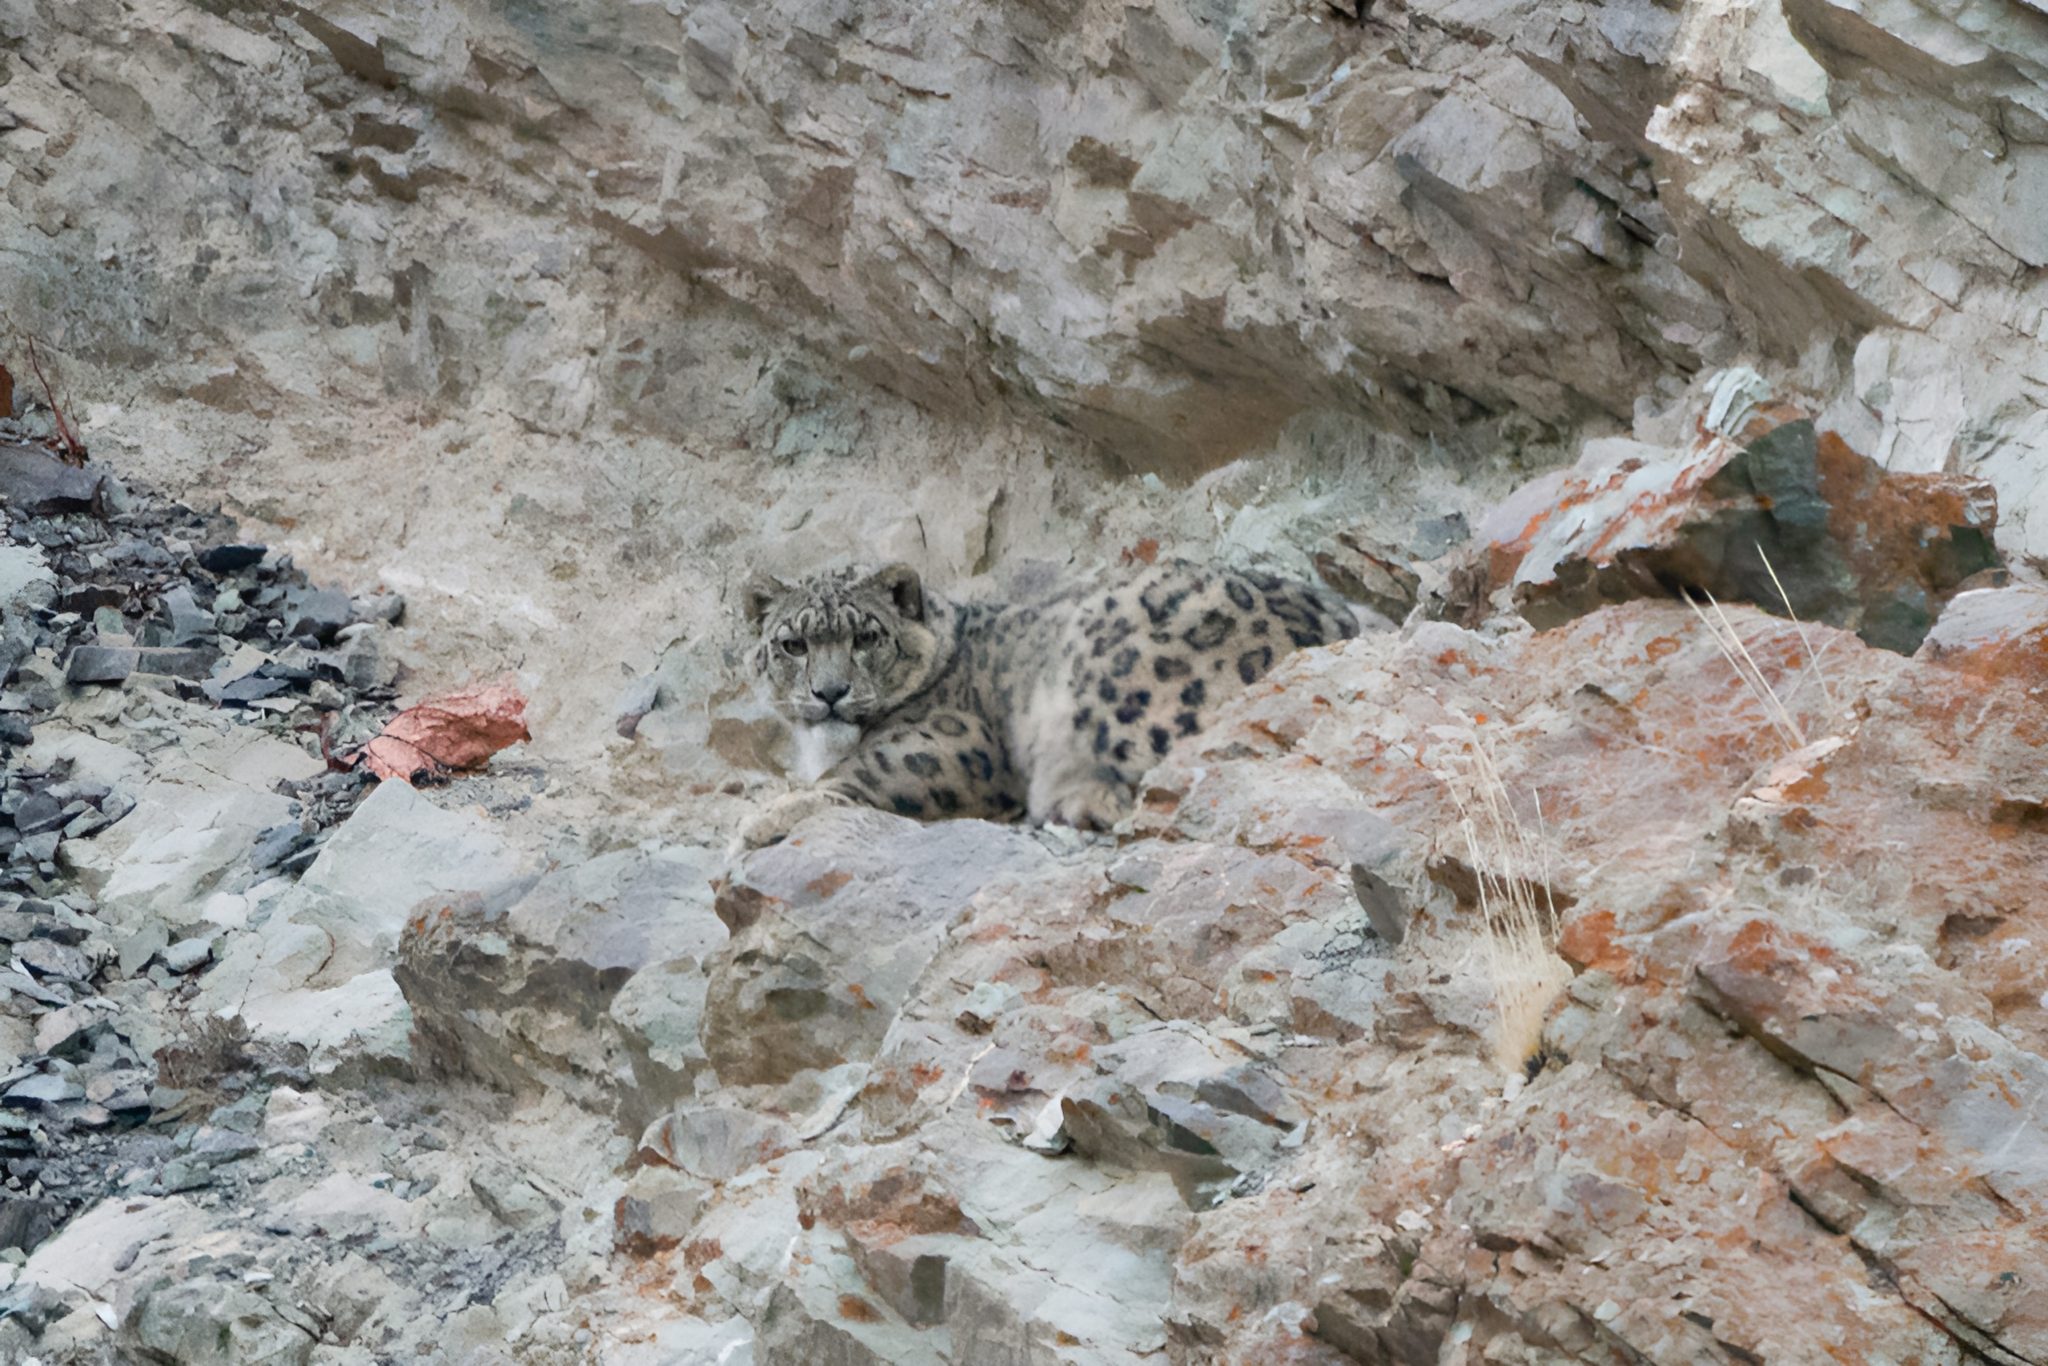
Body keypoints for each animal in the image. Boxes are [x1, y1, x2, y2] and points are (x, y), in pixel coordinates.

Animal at [732, 559, 1359, 852]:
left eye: (866, 636)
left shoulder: (955, 740)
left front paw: (762, 819)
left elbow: (867, 768)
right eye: (793, 644)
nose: (830, 692)